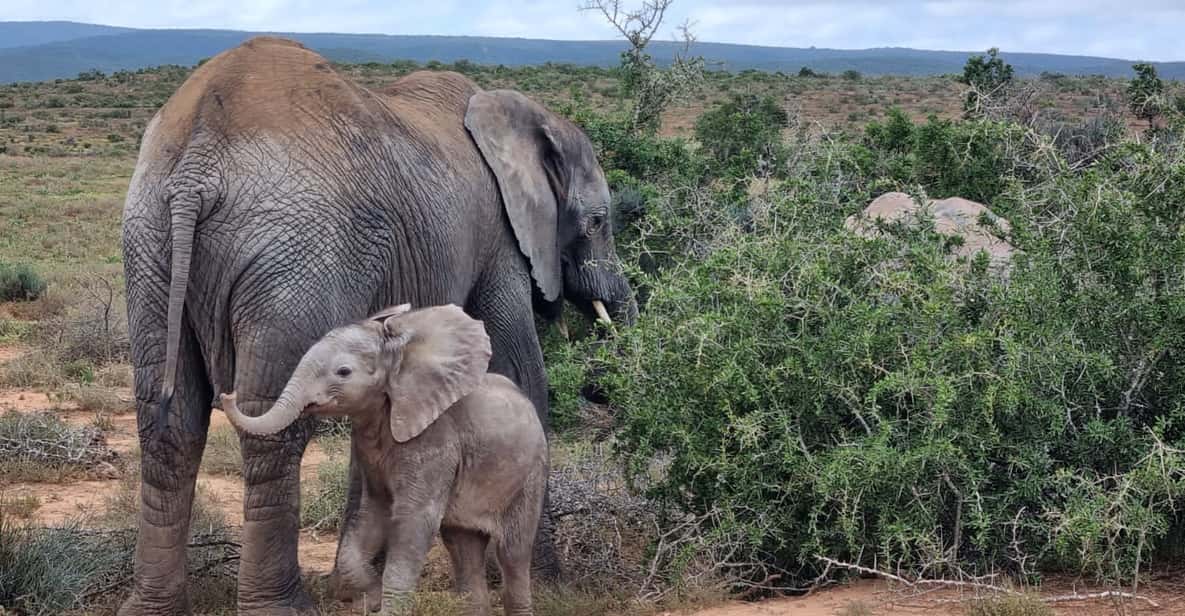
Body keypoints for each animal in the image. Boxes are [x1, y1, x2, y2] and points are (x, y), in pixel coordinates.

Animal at [219, 303, 547, 615]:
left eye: (343, 372)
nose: (226, 394)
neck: (400, 353)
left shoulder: (435, 441)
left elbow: (414, 519)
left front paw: (382, 605)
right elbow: (373, 511)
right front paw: (370, 597)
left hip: (530, 476)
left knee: (513, 552)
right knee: (463, 548)